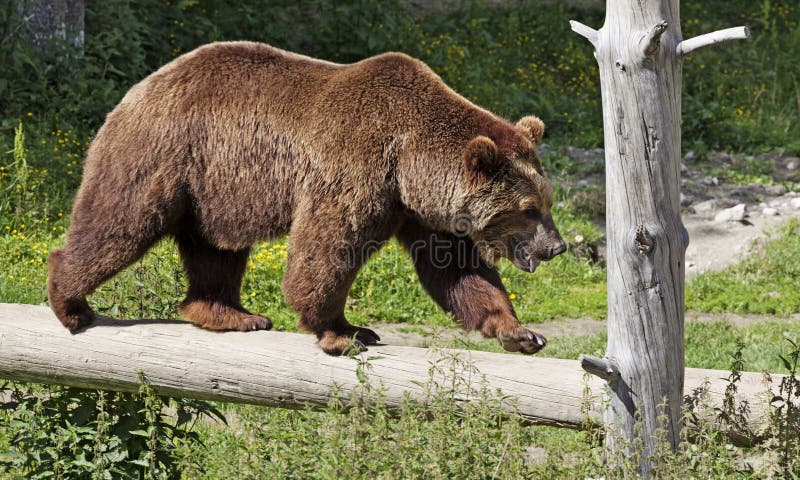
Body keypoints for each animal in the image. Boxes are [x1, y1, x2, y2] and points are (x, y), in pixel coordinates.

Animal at [47, 41, 566, 356]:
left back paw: (230, 313)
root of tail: (142, 84)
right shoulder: (358, 167)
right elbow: (327, 249)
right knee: (119, 222)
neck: (409, 158)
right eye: (528, 209)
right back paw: (70, 302)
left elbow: (457, 267)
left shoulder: (418, 207)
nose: (556, 246)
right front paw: (342, 331)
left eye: (547, 201)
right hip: (163, 154)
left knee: (216, 250)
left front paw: (519, 331)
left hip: (215, 190)